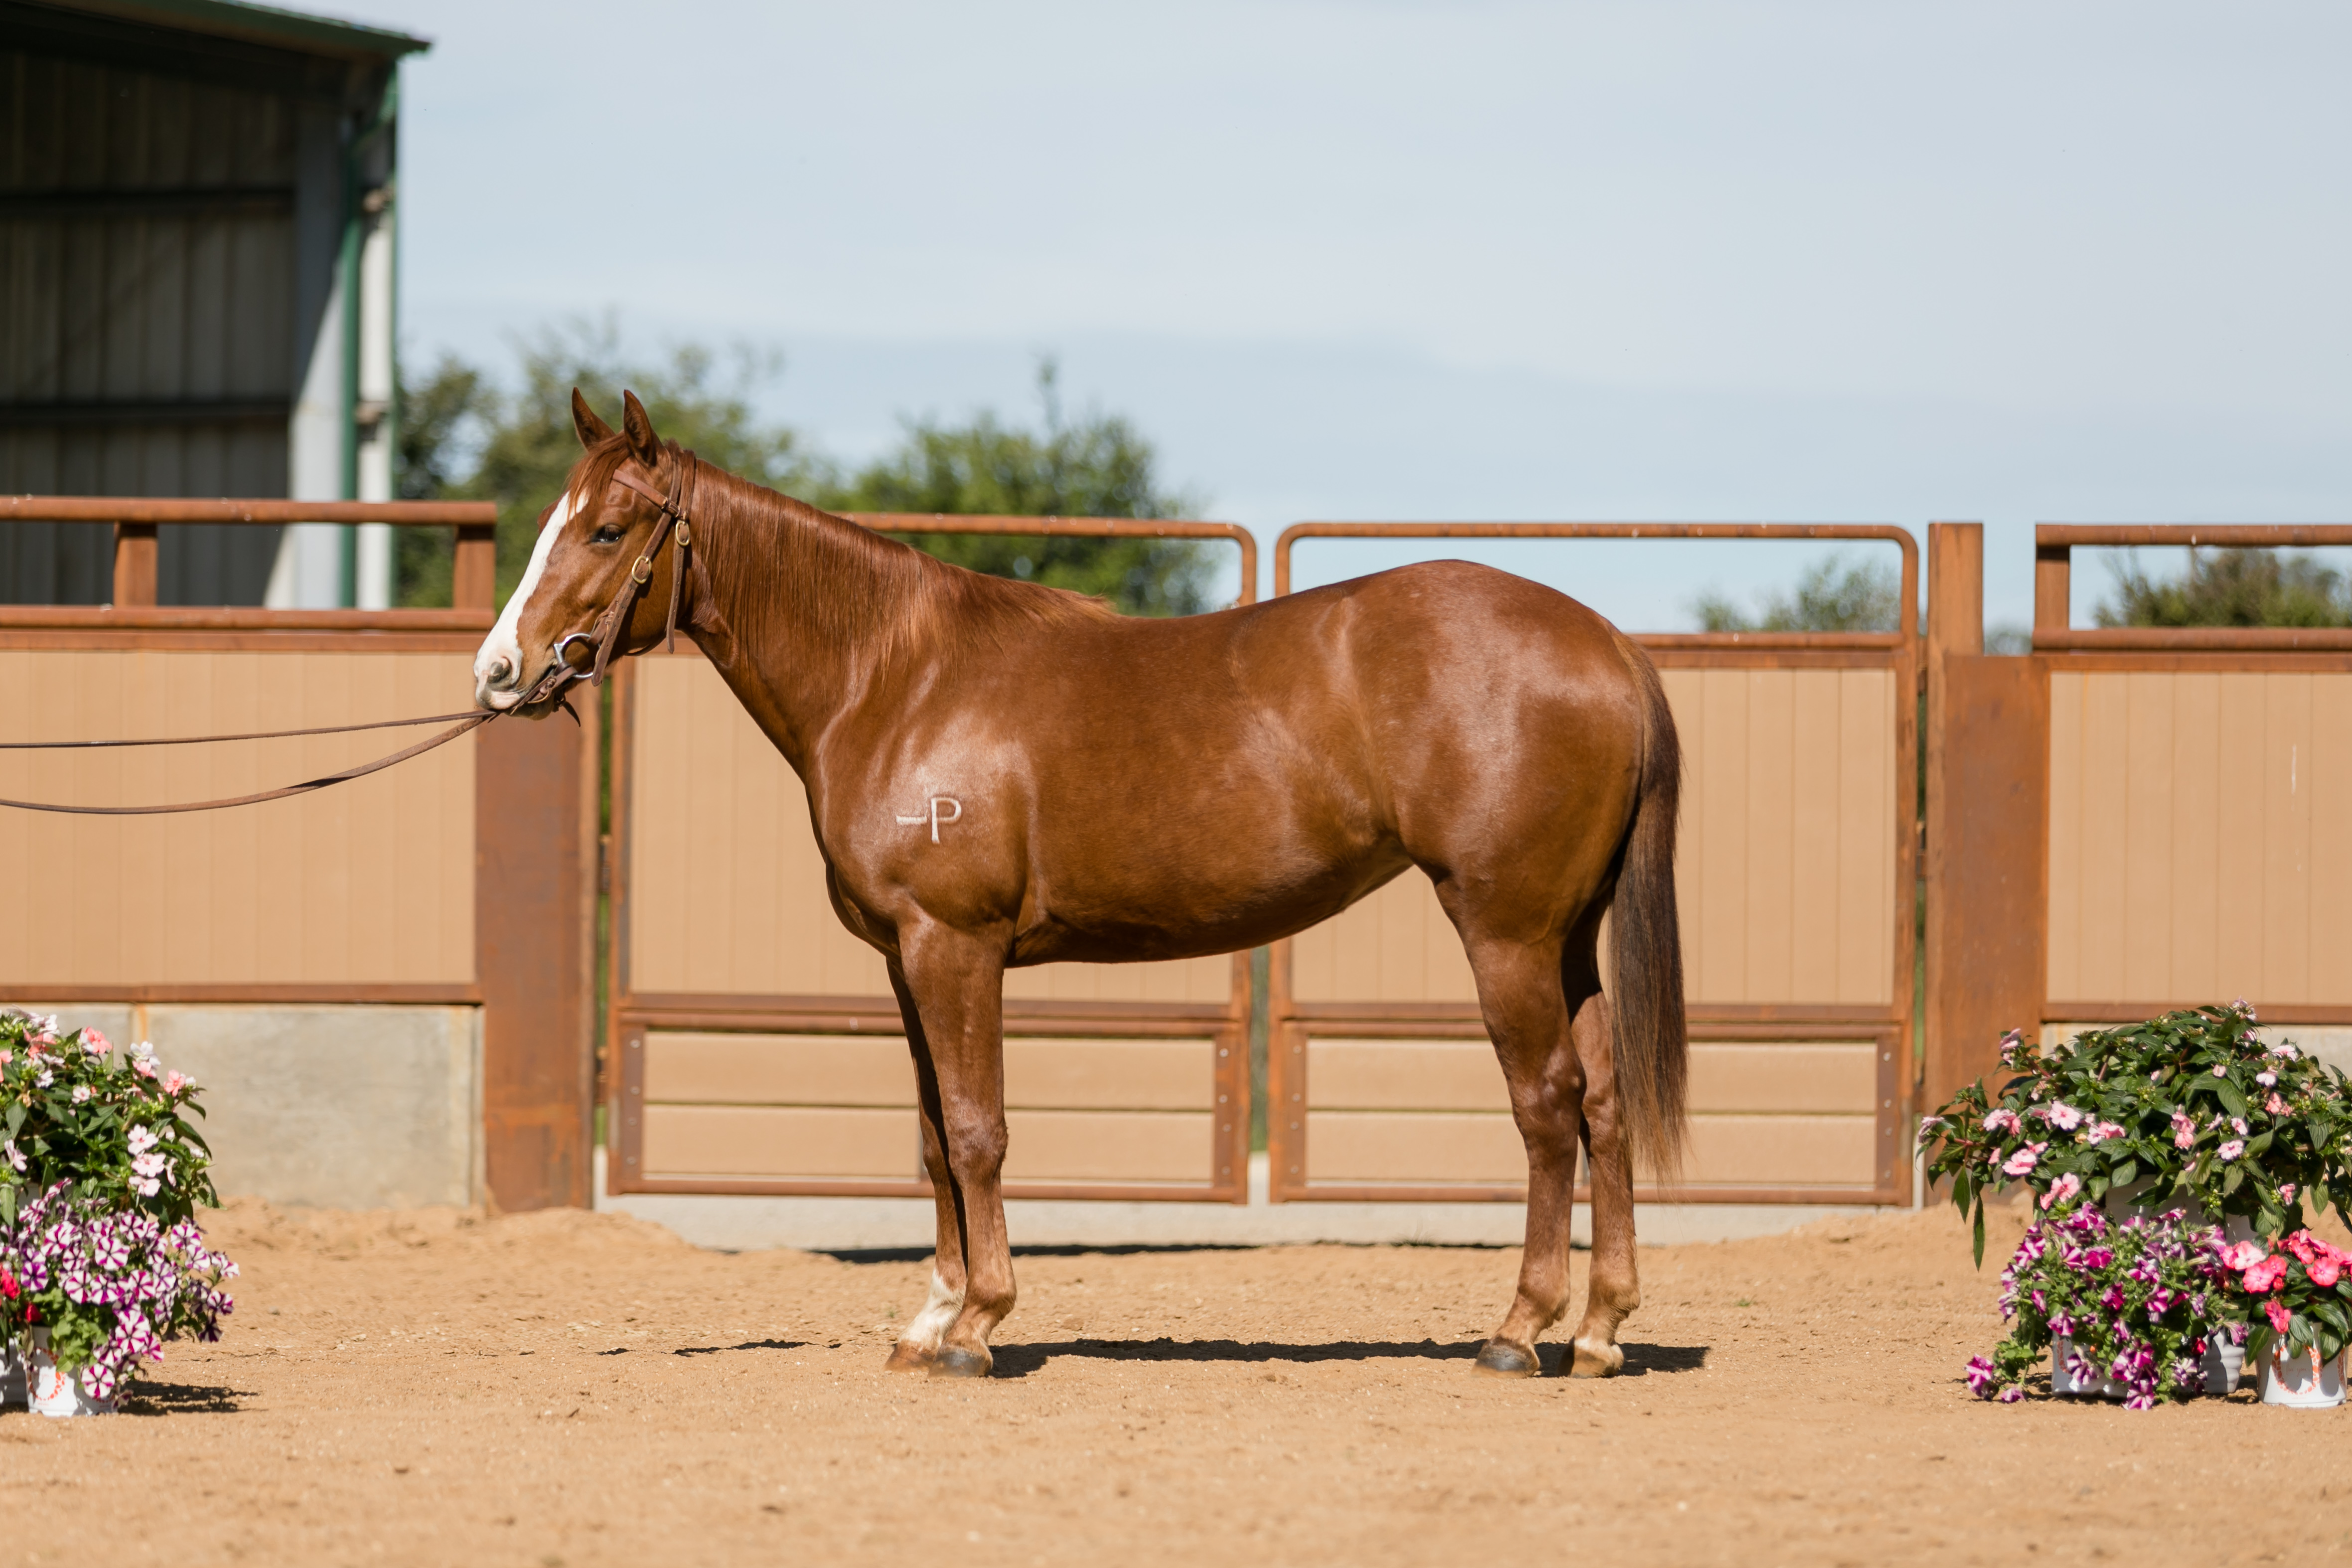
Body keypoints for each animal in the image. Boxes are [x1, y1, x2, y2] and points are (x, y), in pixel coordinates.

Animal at [475, 389, 1688, 1381]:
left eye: (607, 528)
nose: (497, 672)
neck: (896, 680)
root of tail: (1606, 643)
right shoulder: (907, 961)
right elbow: (933, 1137)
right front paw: (928, 1319)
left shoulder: (954, 946)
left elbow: (977, 1130)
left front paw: (977, 1326)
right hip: (1565, 938)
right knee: (1604, 1101)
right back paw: (1598, 1329)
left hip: (1506, 931)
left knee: (1547, 1106)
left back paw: (1518, 1329)